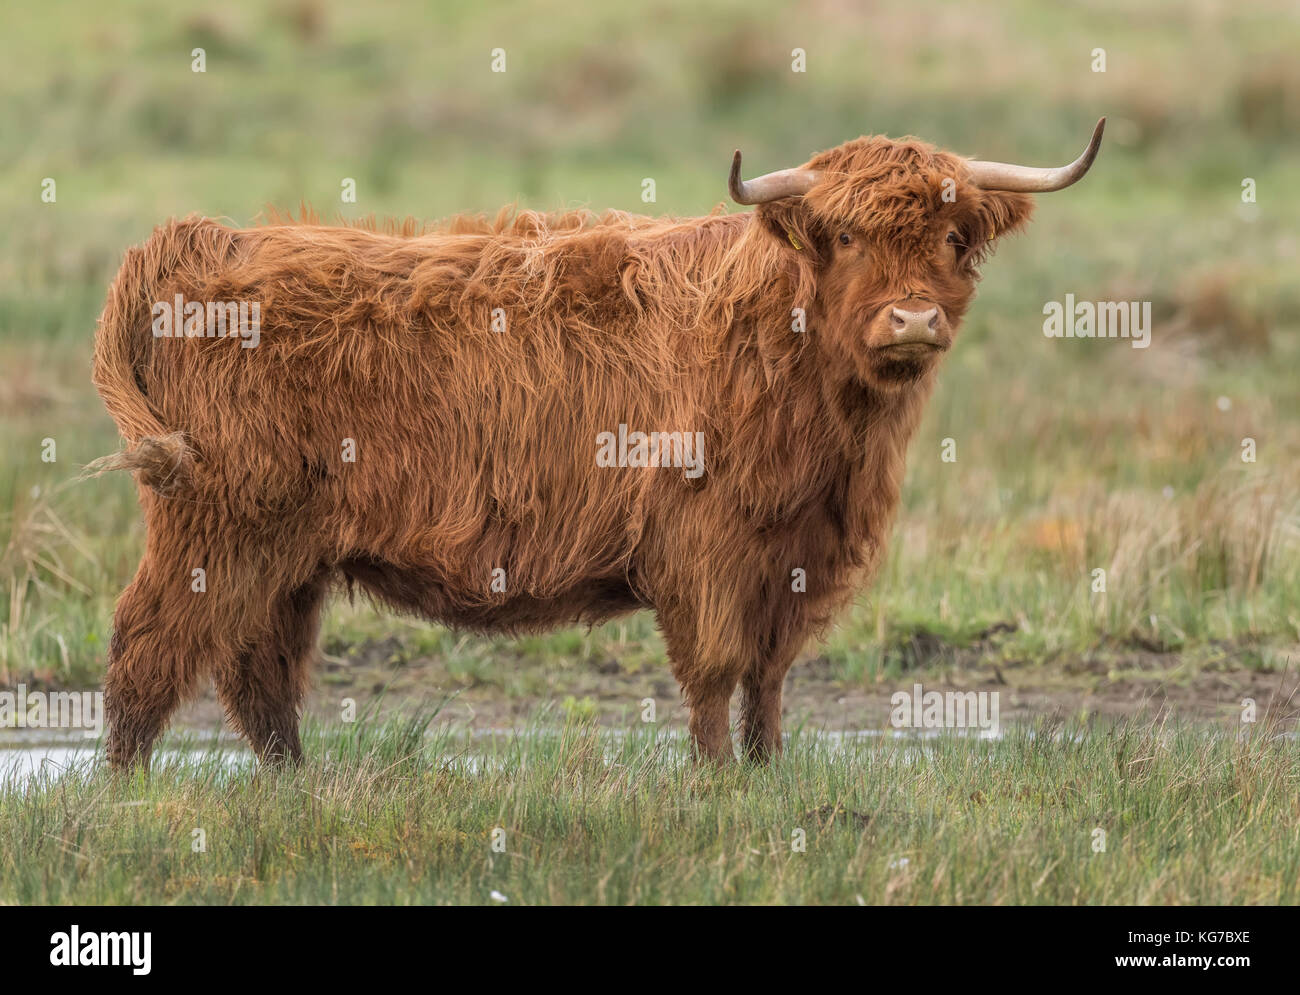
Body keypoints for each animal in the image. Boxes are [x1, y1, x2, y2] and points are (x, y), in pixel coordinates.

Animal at [91, 120, 1105, 769]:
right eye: (848, 233)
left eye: (954, 236)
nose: (913, 319)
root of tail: (199, 241)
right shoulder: (706, 546)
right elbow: (716, 670)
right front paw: (715, 782)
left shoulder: (794, 556)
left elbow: (771, 677)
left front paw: (769, 773)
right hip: (217, 526)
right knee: (150, 645)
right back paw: (126, 790)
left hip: (288, 552)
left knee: (260, 669)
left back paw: (298, 785)